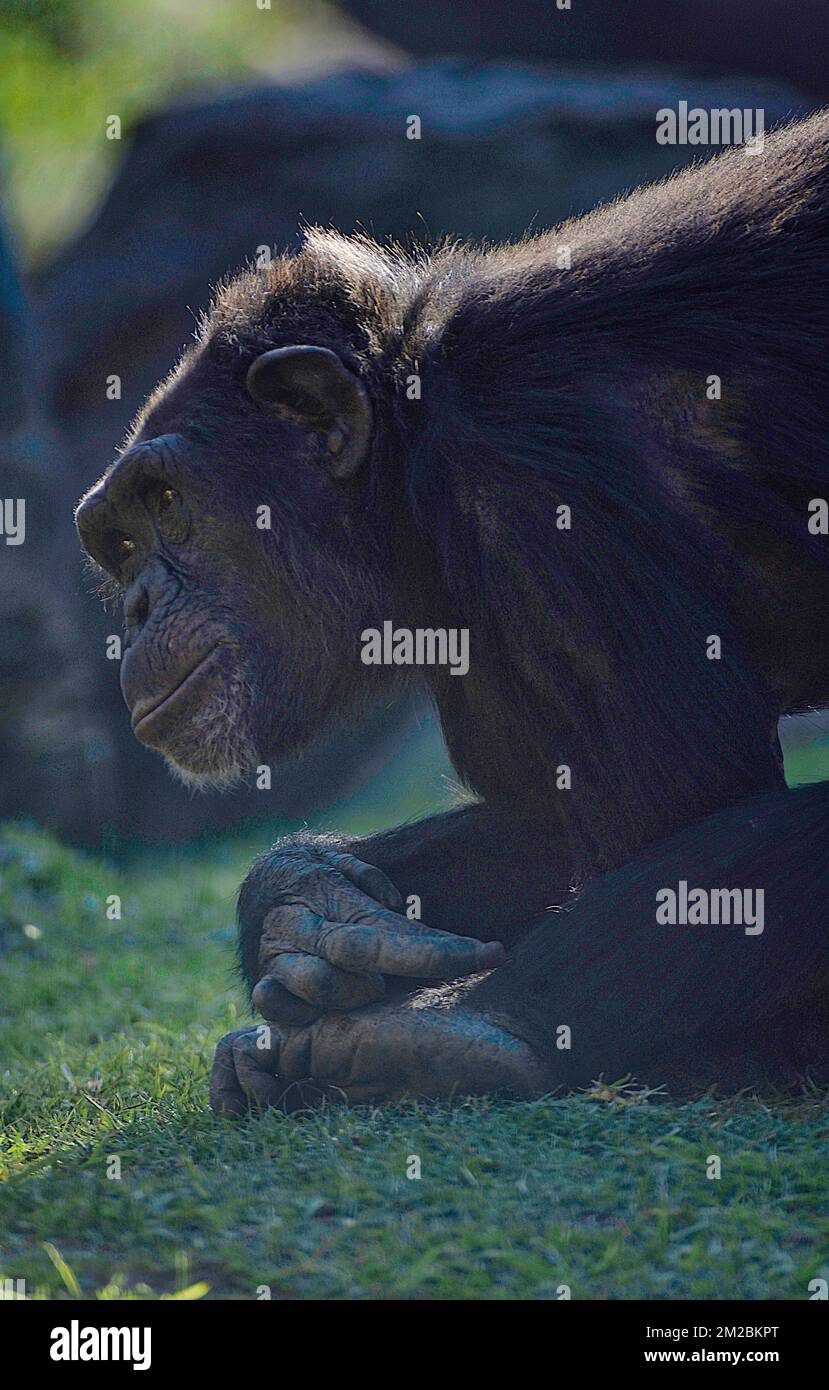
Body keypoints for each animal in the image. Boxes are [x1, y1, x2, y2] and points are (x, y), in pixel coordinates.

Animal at [75, 110, 829, 1111]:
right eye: (118, 543)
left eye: (166, 501)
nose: (138, 602)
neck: (408, 451)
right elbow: (546, 818)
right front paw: (308, 907)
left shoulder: (536, 483)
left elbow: (690, 821)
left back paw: (447, 1033)